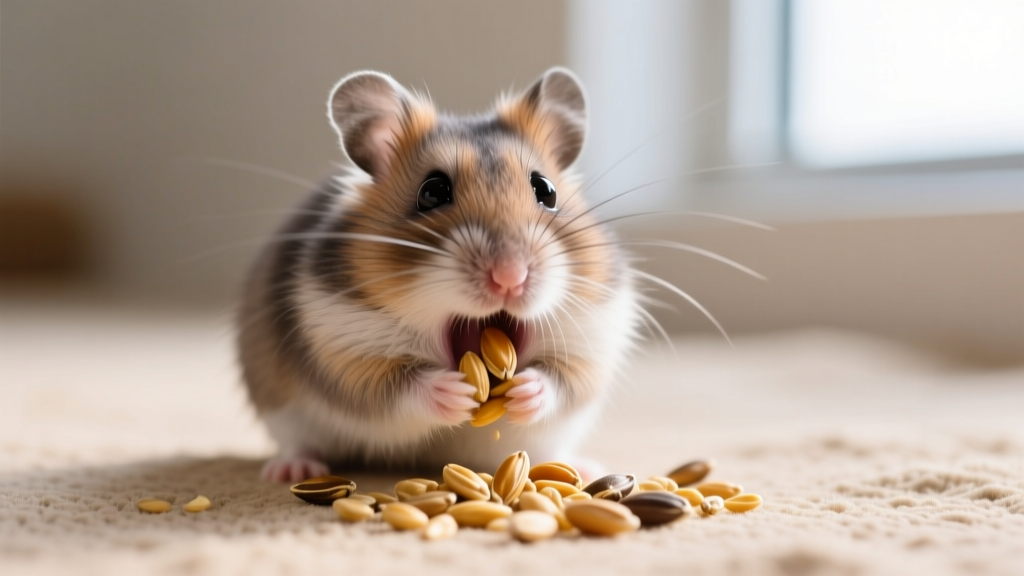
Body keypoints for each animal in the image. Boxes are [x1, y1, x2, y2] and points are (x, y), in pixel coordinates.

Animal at [237, 68, 642, 482]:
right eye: (432, 192)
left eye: (546, 190)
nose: (509, 277)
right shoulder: (343, 345)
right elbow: (397, 389)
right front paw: (458, 392)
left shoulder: (591, 339)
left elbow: (562, 382)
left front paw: (524, 390)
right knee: (298, 442)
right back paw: (293, 471)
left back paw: (584, 468)